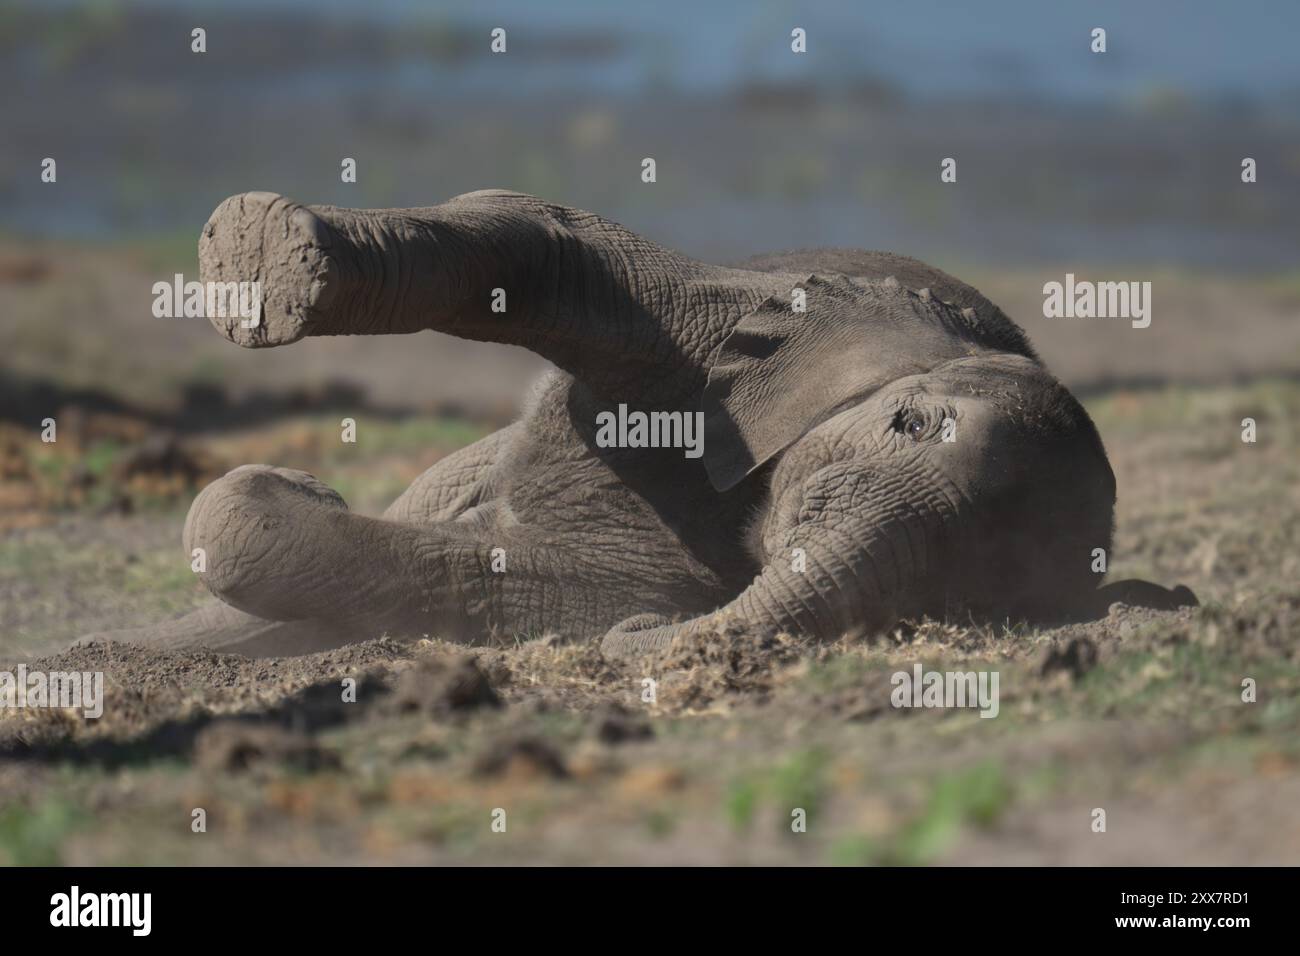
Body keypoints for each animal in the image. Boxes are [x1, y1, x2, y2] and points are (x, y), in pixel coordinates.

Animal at [81, 189, 1195, 659]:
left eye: (963, 594)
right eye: (910, 420)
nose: (638, 641)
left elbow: (503, 582)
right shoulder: (734, 325)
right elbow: (540, 235)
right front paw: (266, 258)